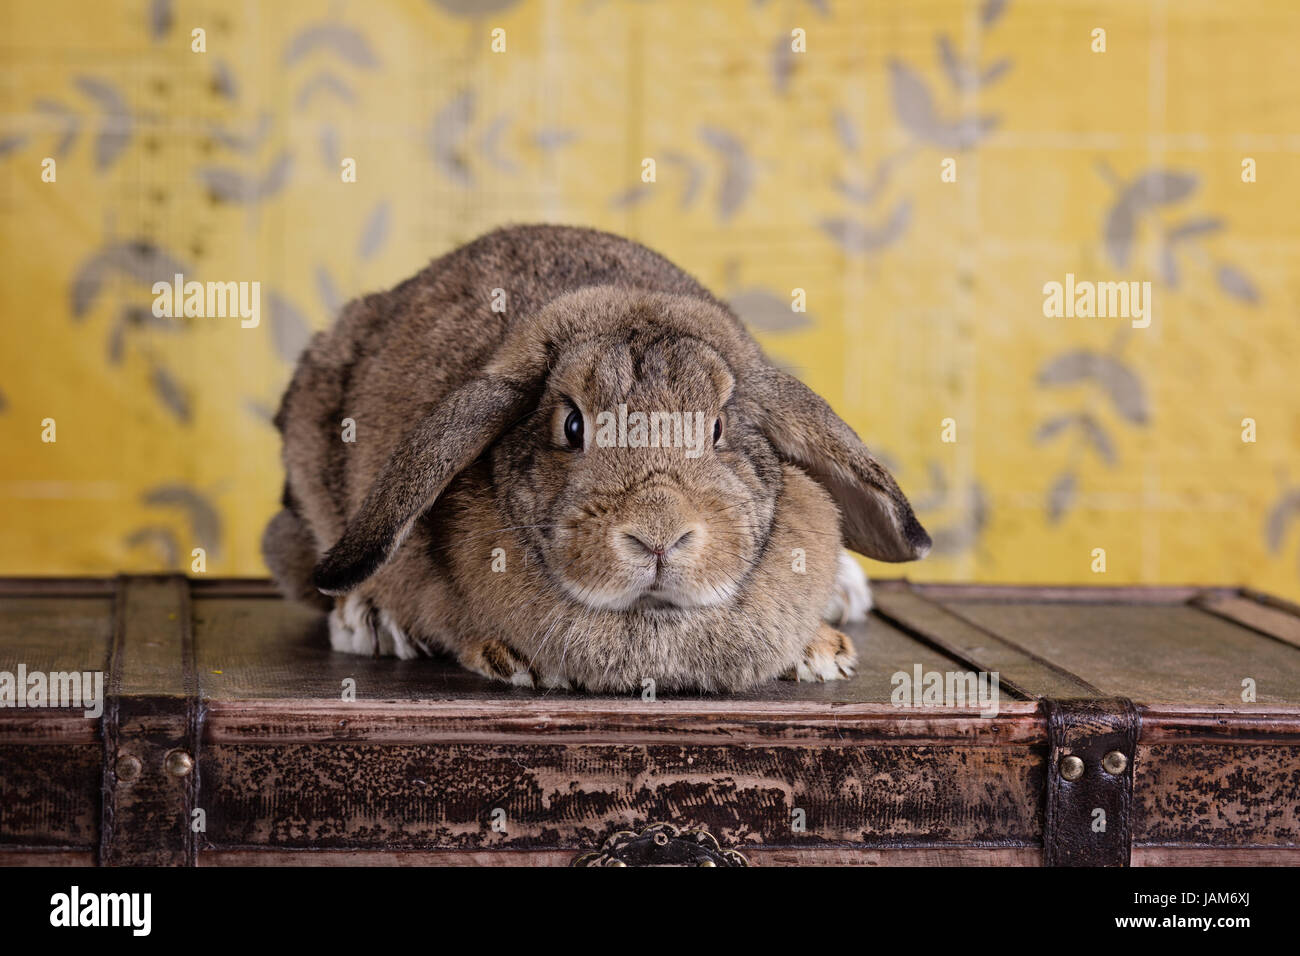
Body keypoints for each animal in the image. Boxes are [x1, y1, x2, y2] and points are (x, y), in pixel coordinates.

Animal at [263, 224, 930, 692]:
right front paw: (513, 658)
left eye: (718, 428)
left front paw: (822, 652)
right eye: (573, 425)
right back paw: (372, 621)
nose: (658, 536)